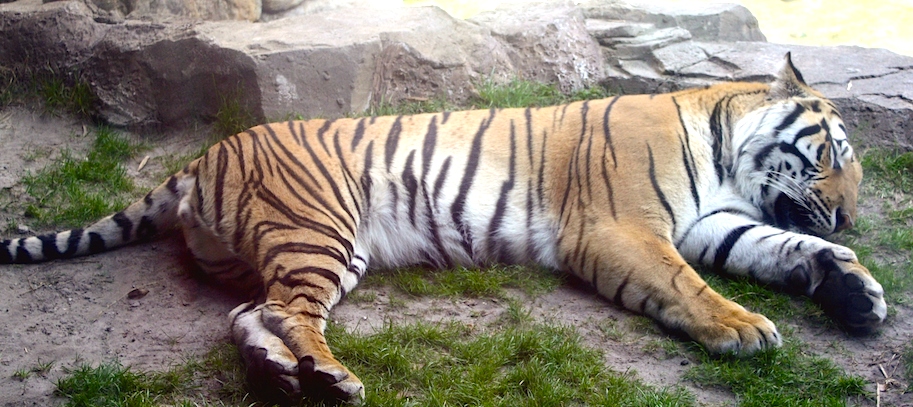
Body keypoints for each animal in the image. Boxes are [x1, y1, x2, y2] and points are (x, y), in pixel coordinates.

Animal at [1, 53, 887, 403]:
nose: (850, 209)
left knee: (251, 312)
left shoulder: (715, 223)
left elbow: (791, 246)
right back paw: (331, 377)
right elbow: (688, 283)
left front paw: (858, 291)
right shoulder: (621, 227)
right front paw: (744, 329)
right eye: (834, 154)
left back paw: (289, 376)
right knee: (280, 310)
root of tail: (204, 152)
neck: (727, 147)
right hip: (319, 228)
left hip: (318, 249)